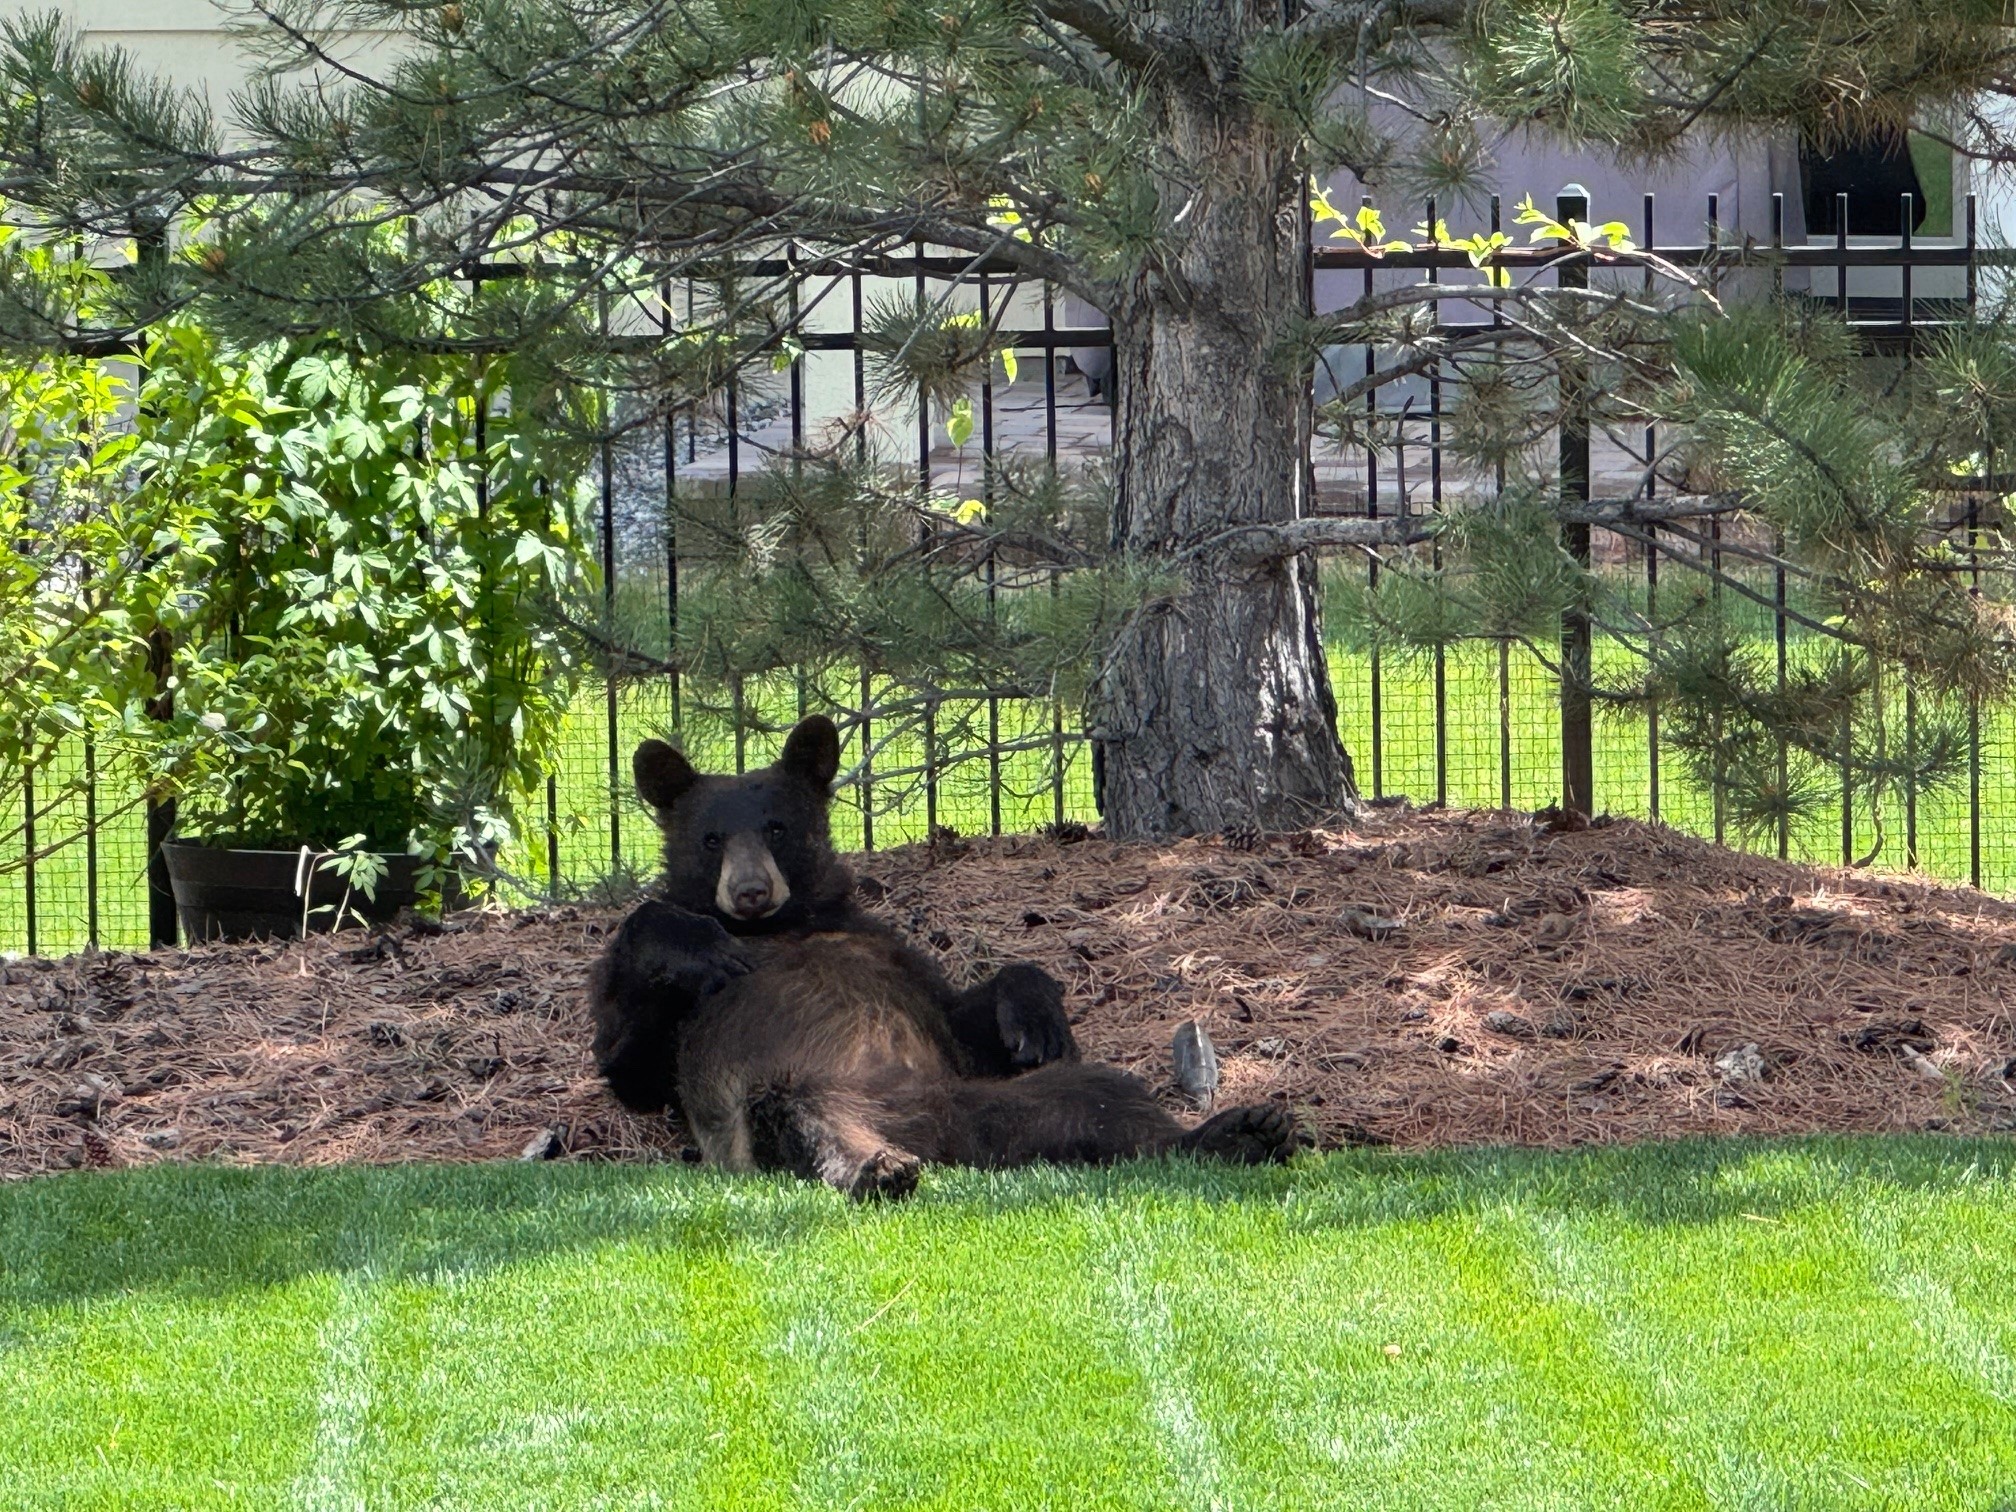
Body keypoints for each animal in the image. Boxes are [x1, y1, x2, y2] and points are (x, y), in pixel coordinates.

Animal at [588, 714, 1307, 1198]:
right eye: (710, 838)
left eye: (776, 828)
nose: (750, 893)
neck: (788, 926)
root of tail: (933, 1140)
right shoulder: (671, 1021)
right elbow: (631, 1059)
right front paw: (699, 947)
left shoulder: (882, 949)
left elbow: (966, 1012)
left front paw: (1033, 1016)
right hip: (786, 1095)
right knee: (796, 1112)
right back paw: (873, 1167)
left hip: (987, 1100)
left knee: (1102, 1099)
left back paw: (1235, 1132)